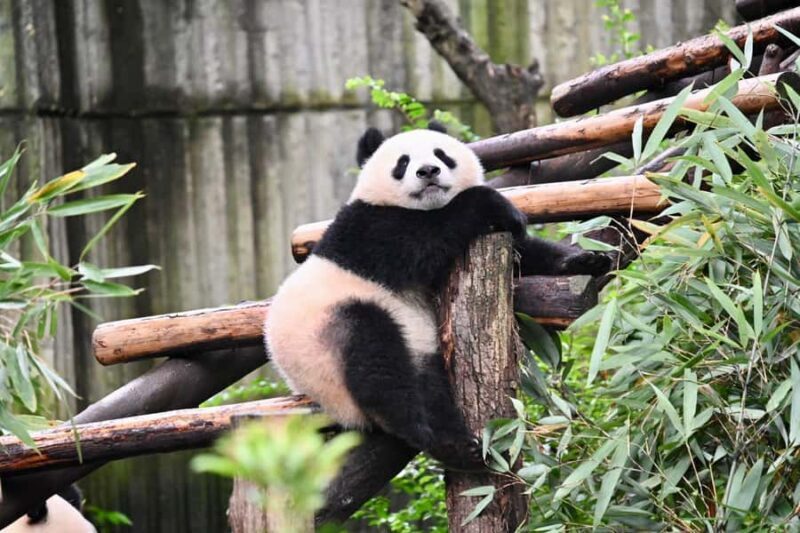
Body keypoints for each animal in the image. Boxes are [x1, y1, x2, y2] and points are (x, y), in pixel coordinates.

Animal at [266, 123, 609, 469]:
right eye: (402, 162)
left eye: (441, 154)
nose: (428, 171)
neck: (423, 206)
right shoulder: (369, 229)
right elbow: (425, 240)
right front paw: (503, 208)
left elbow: (524, 256)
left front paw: (586, 260)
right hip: (327, 339)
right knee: (377, 367)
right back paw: (440, 441)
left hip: (417, 352)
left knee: (427, 387)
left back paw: (462, 445)